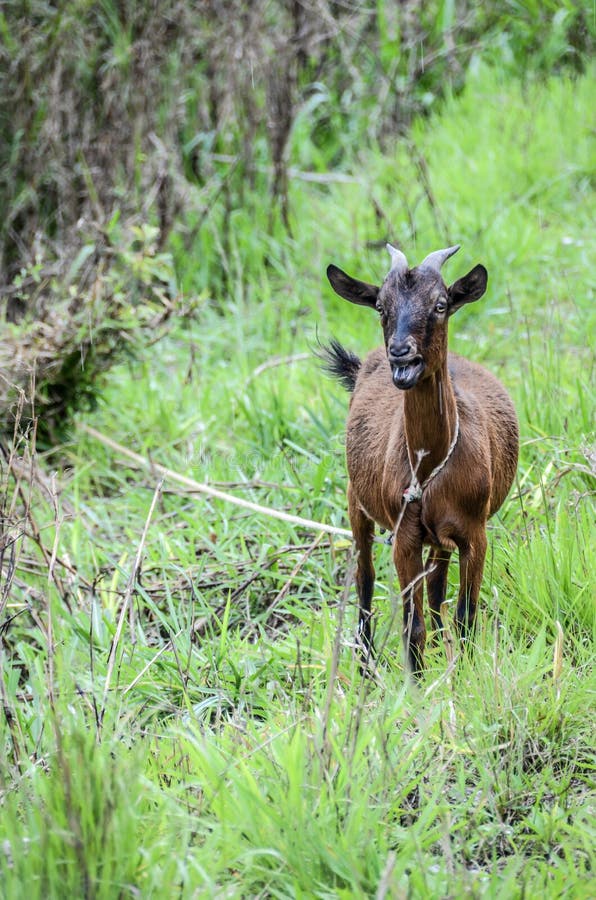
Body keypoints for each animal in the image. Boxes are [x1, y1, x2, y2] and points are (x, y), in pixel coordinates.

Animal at [323, 244, 519, 675]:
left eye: (441, 304)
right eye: (381, 306)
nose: (401, 354)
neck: (431, 466)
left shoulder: (473, 533)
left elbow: (465, 615)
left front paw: (464, 675)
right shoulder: (406, 537)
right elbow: (412, 627)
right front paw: (417, 683)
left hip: (440, 535)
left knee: (436, 586)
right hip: (356, 500)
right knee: (364, 578)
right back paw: (365, 666)